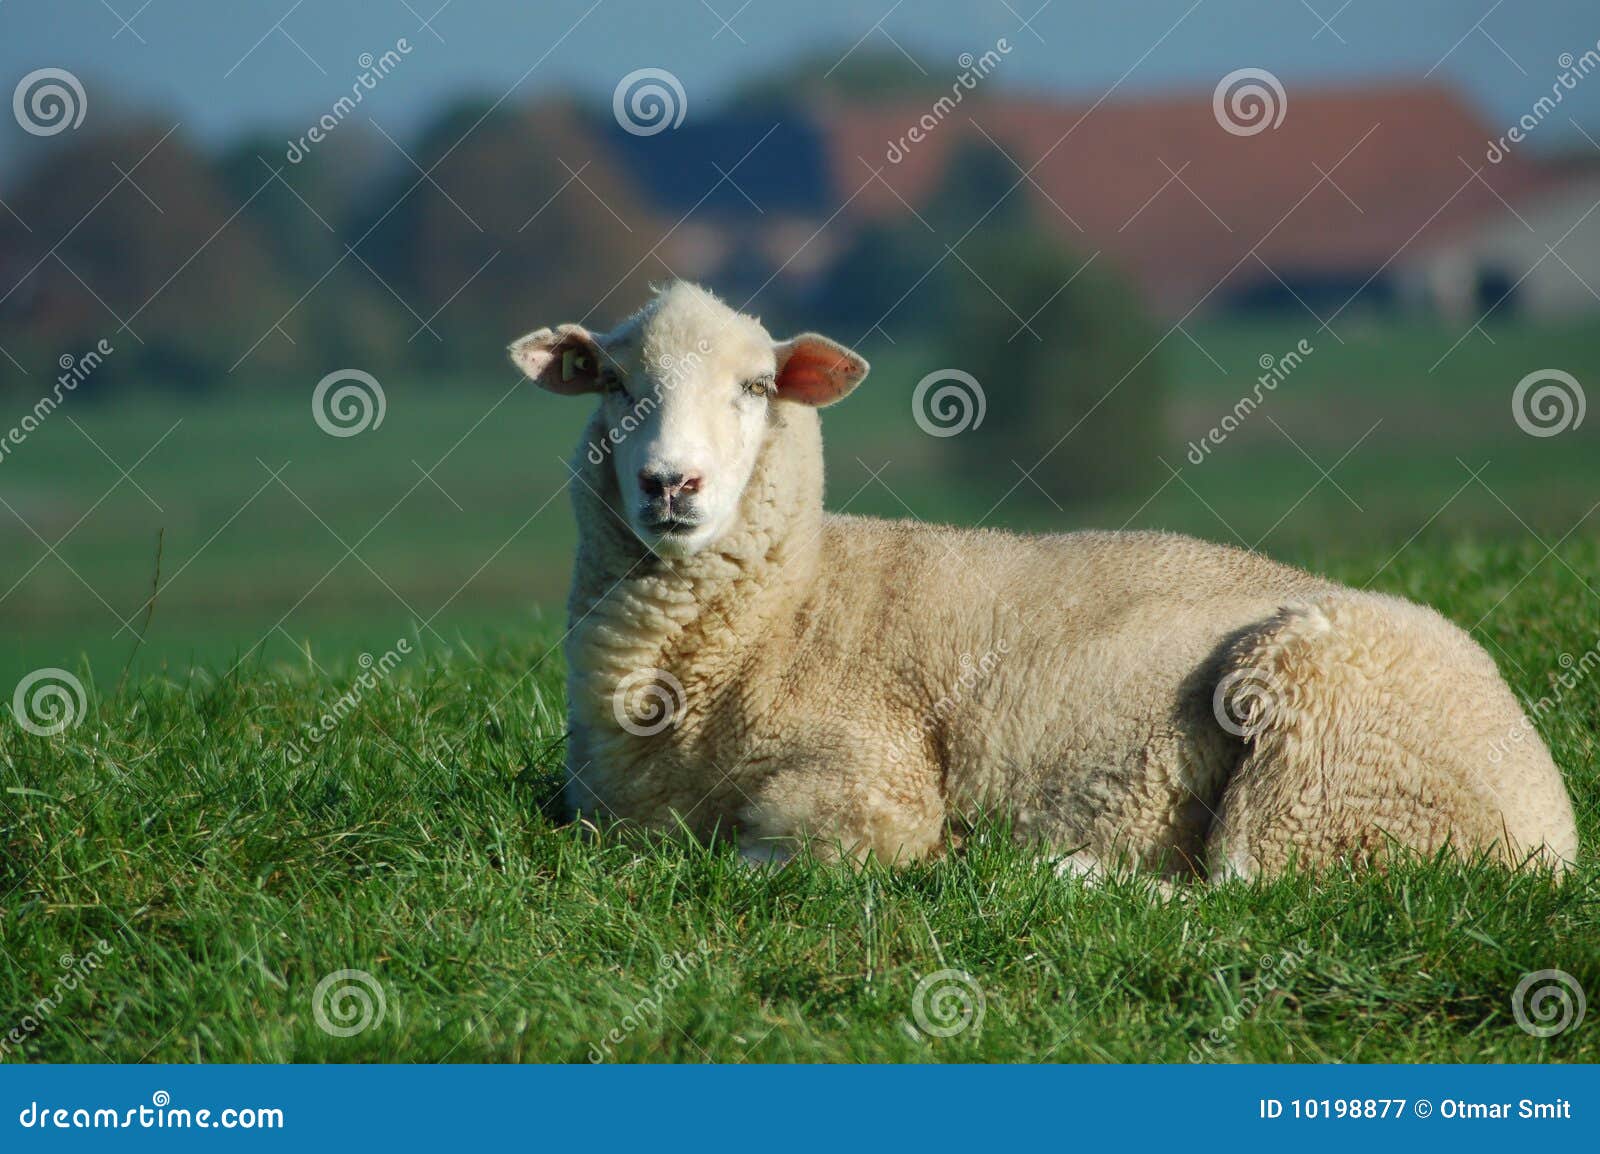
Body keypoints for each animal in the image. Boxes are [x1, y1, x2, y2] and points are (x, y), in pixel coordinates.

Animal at [508, 281, 1579, 879]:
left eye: (757, 387)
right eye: (613, 382)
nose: (670, 483)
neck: (795, 605)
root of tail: (1553, 830)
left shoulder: (870, 786)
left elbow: (751, 859)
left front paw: (941, 857)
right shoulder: (605, 808)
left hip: (1326, 760)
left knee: (1246, 888)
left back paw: (1060, 871)